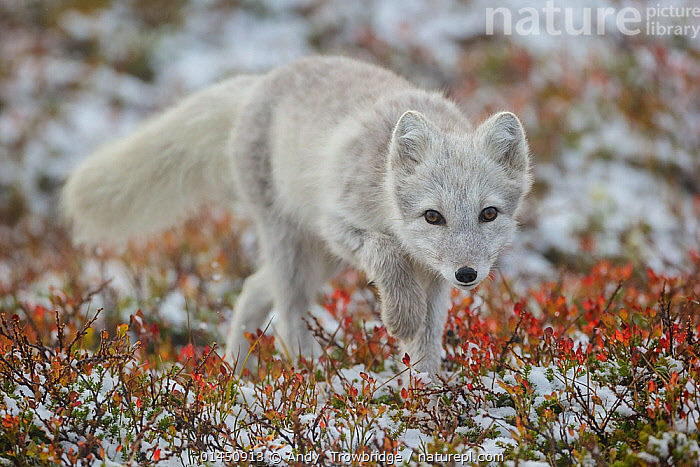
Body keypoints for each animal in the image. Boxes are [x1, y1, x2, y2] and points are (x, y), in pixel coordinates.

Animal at [62, 56, 532, 375]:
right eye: (433, 217)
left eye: (488, 213)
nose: (467, 274)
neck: (382, 186)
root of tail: (260, 82)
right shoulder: (337, 225)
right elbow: (386, 253)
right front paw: (401, 316)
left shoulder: (433, 276)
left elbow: (428, 344)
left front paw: (427, 402)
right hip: (297, 243)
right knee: (286, 316)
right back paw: (309, 377)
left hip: (318, 262)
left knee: (253, 289)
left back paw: (235, 376)